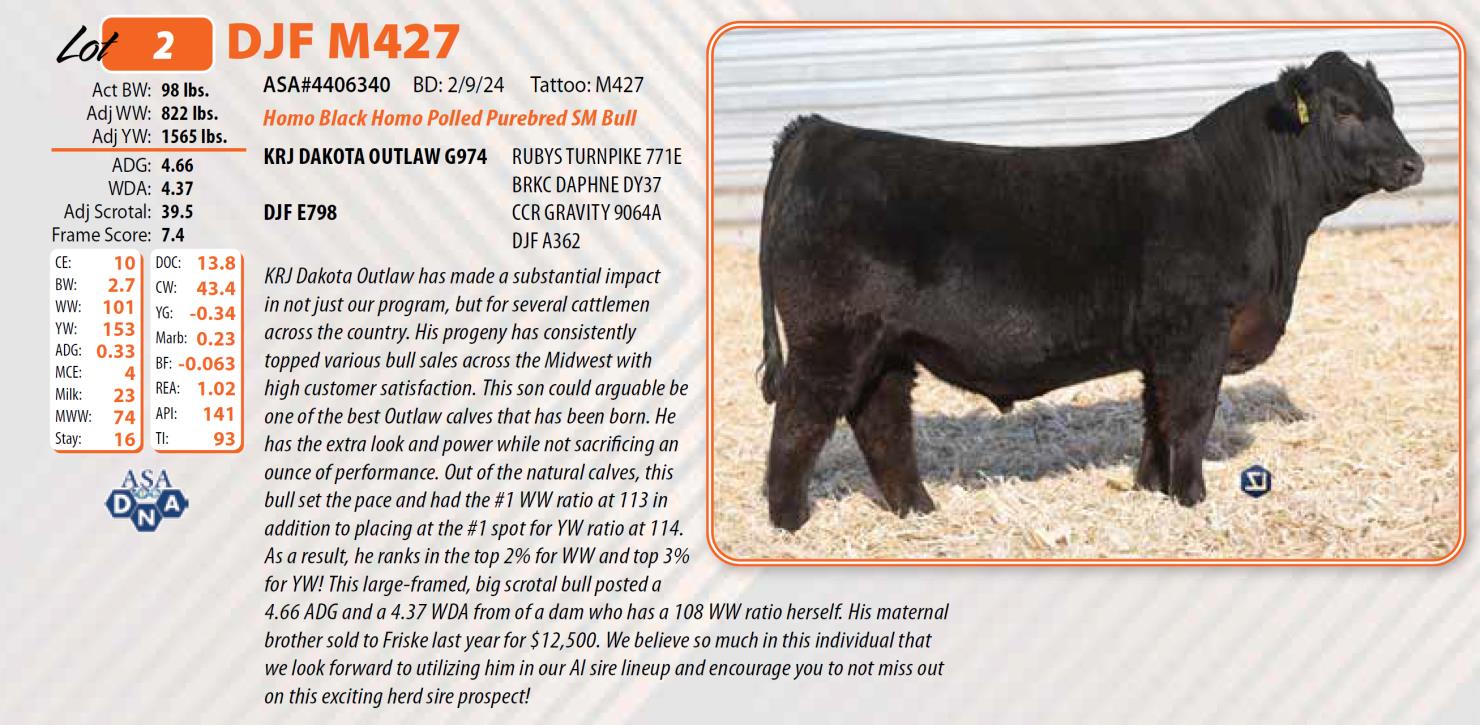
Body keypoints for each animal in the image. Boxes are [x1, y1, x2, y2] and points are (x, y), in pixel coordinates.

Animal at [755, 51, 1424, 531]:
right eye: (1345, 110)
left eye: (1387, 105)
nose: (1413, 164)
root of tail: (815, 132)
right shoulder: (1198, 329)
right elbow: (1191, 414)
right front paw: (1191, 498)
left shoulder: (1163, 343)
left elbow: (1157, 414)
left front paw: (1152, 487)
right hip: (829, 336)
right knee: (800, 418)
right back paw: (790, 522)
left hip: (886, 345)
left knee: (882, 421)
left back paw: (918, 510)